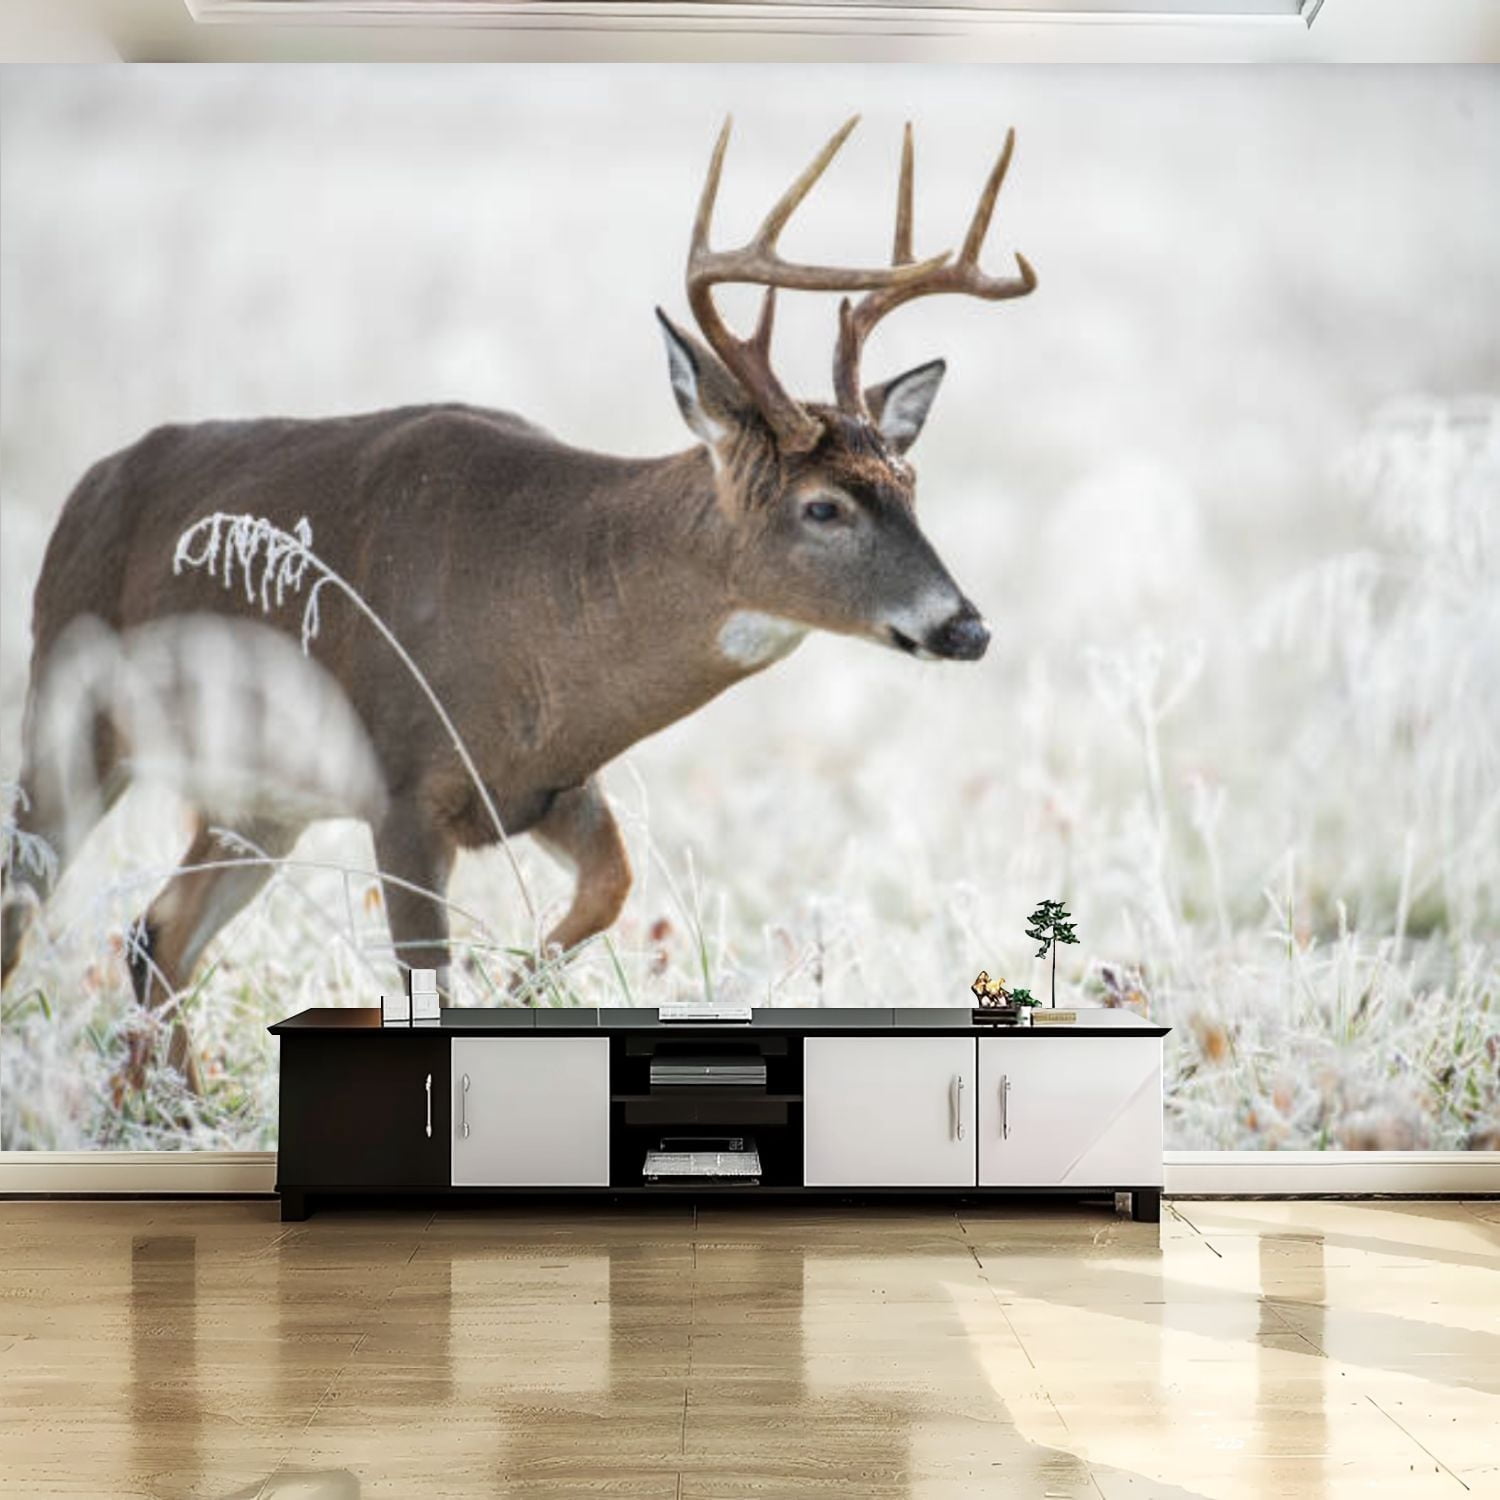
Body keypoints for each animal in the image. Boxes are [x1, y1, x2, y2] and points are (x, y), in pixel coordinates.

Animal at [0, 116, 1036, 1092]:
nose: (966, 626)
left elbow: (613, 886)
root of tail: (90, 487)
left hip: (255, 800)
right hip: (70, 712)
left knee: (157, 932)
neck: (544, 602)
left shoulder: (546, 781)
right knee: (31, 900)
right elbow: (429, 982)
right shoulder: (401, 785)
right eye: (822, 507)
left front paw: (519, 992)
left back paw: (159, 1096)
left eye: (910, 482)